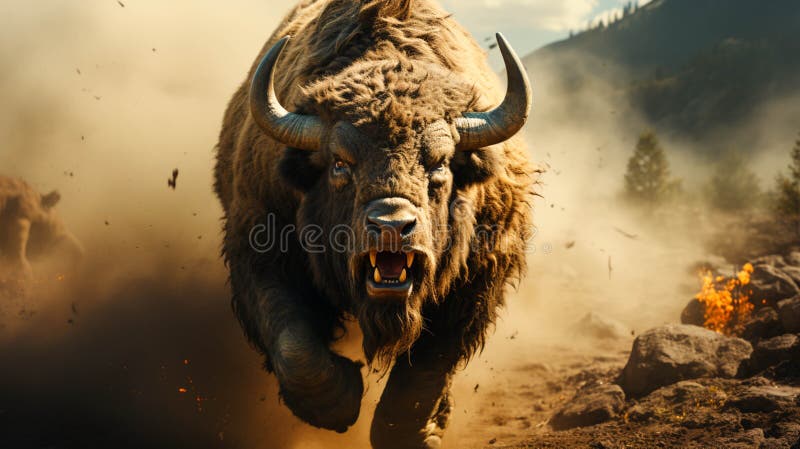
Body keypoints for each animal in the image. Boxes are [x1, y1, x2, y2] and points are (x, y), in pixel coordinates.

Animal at [214, 0, 534, 447]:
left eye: (439, 163)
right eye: (339, 163)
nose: (392, 226)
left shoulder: (477, 281)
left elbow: (427, 371)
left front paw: (418, 432)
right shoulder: (260, 250)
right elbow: (295, 347)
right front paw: (340, 401)